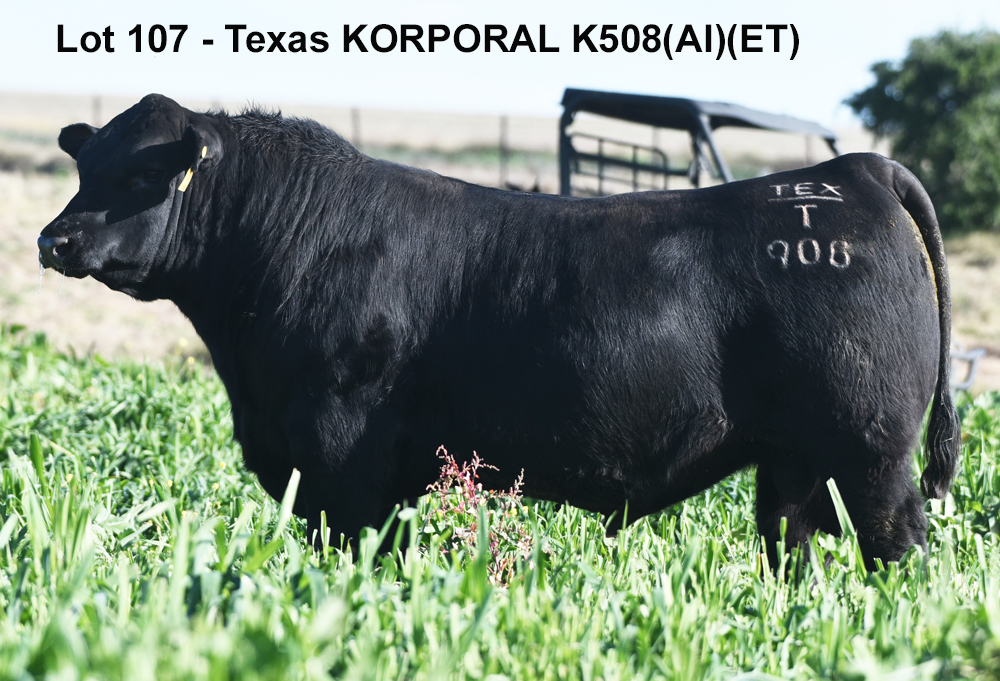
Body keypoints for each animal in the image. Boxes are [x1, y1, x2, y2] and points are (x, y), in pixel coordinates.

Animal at [39, 94, 960, 569]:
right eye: (87, 165)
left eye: (144, 173)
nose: (55, 240)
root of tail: (847, 169)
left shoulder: (342, 462)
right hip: (797, 463)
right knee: (792, 544)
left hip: (873, 453)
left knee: (902, 546)